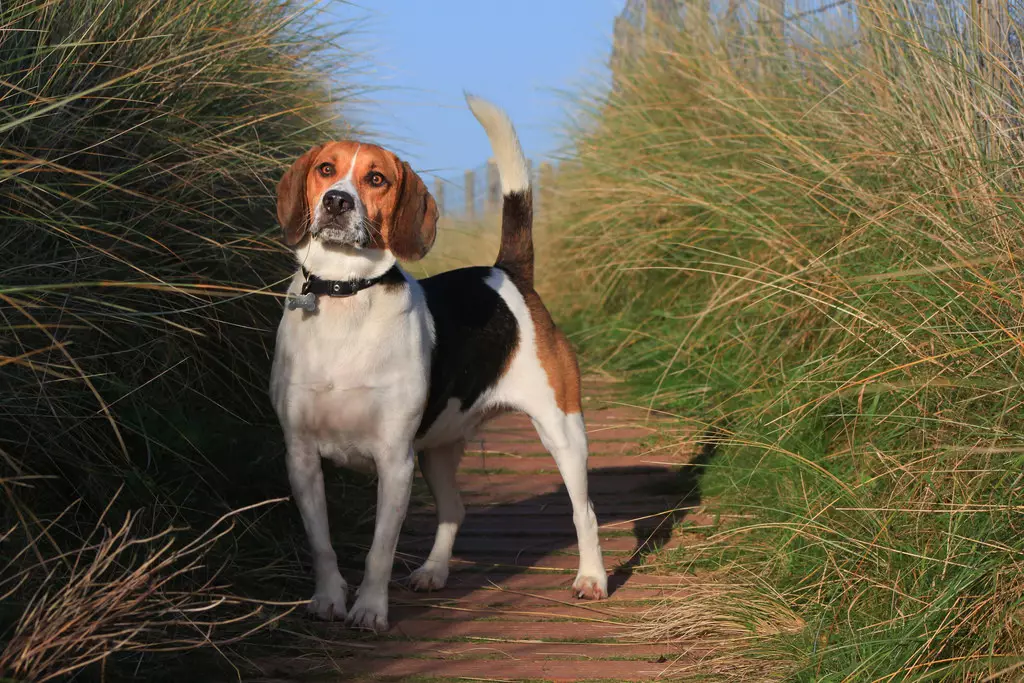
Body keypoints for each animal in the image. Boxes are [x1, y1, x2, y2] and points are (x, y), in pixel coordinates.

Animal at [270, 94, 606, 630]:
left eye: (376, 178)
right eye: (325, 170)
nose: (337, 202)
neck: (346, 294)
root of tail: (508, 272)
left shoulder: (394, 460)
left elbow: (379, 550)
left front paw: (369, 609)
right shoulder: (300, 457)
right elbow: (321, 543)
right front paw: (328, 599)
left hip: (562, 431)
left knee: (584, 511)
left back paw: (592, 578)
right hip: (439, 450)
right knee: (455, 510)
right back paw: (433, 570)